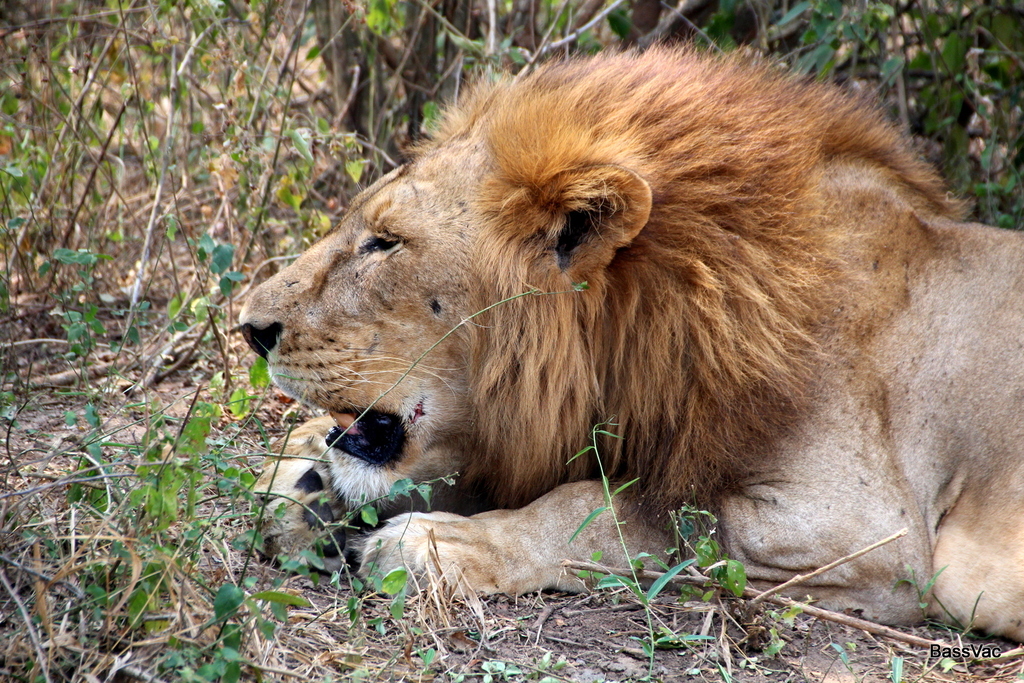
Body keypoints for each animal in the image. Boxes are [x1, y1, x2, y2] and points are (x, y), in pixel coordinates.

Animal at [240, 48, 1024, 640]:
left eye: (385, 242)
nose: (248, 327)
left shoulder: (863, 534)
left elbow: (615, 510)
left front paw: (437, 543)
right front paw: (307, 482)